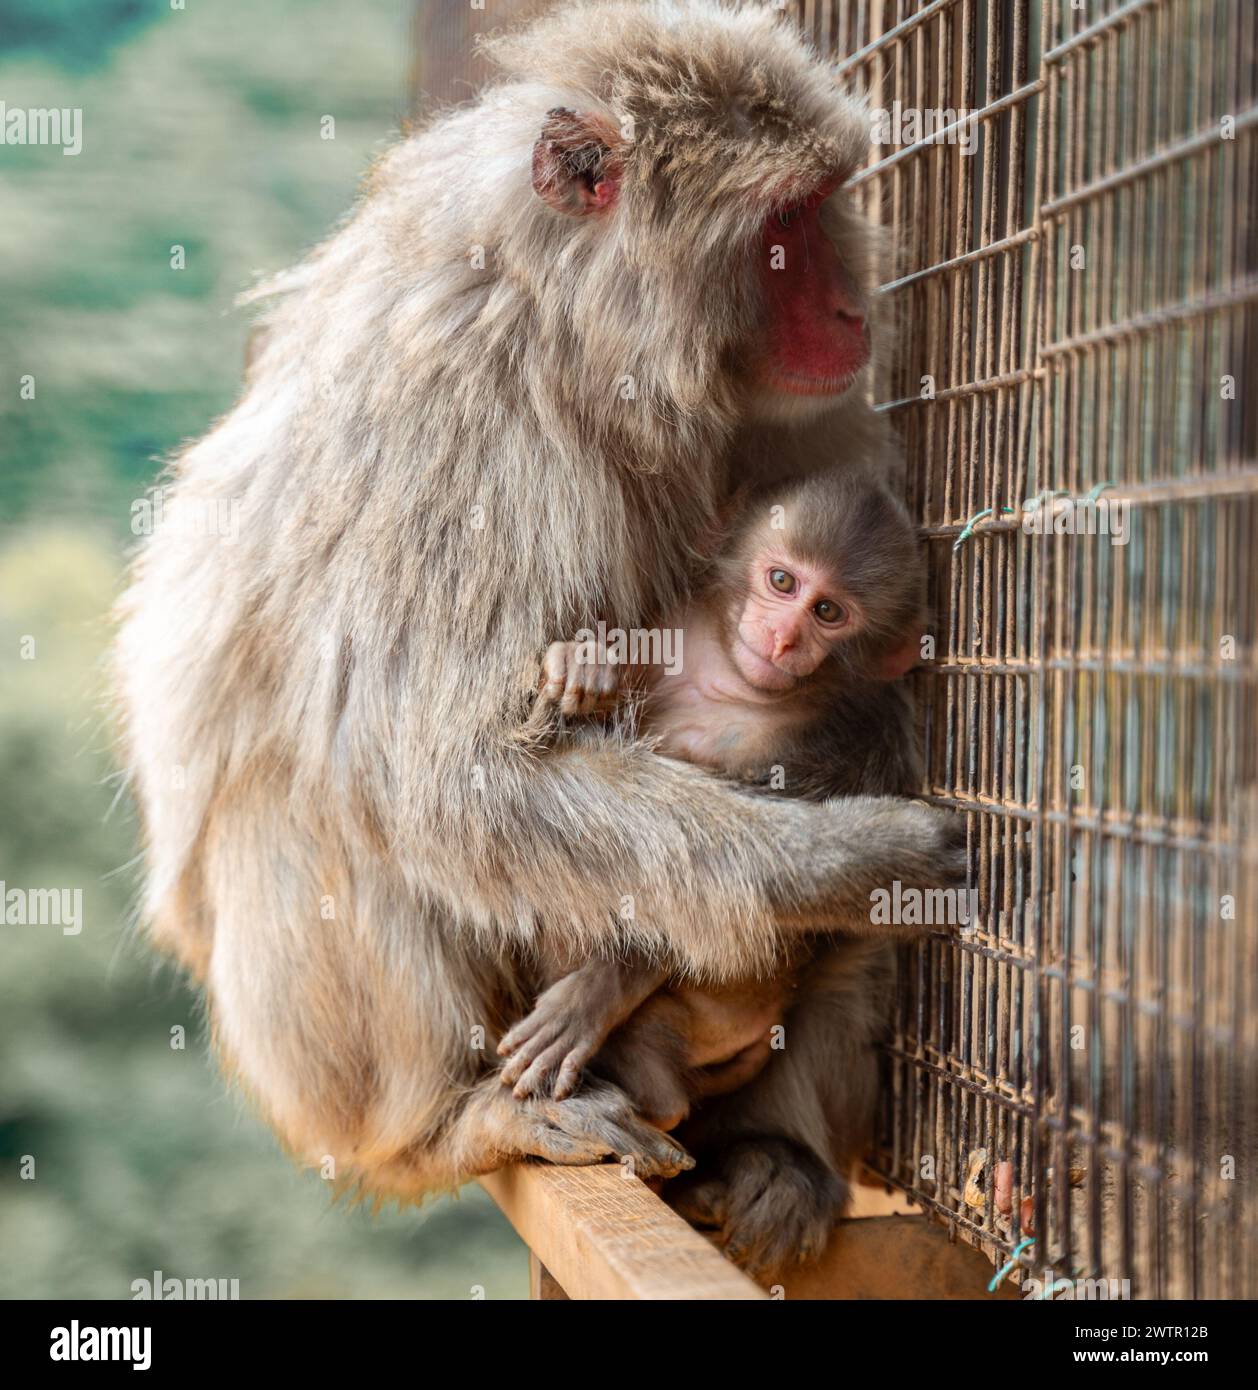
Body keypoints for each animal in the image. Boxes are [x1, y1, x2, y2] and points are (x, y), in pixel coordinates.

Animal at [113, 0, 967, 1267]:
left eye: (827, 205)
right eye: (781, 229)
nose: (852, 310)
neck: (571, 333)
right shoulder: (456, 423)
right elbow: (445, 769)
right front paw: (841, 860)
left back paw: (776, 1154)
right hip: (326, 1083)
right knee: (317, 801)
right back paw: (453, 1119)